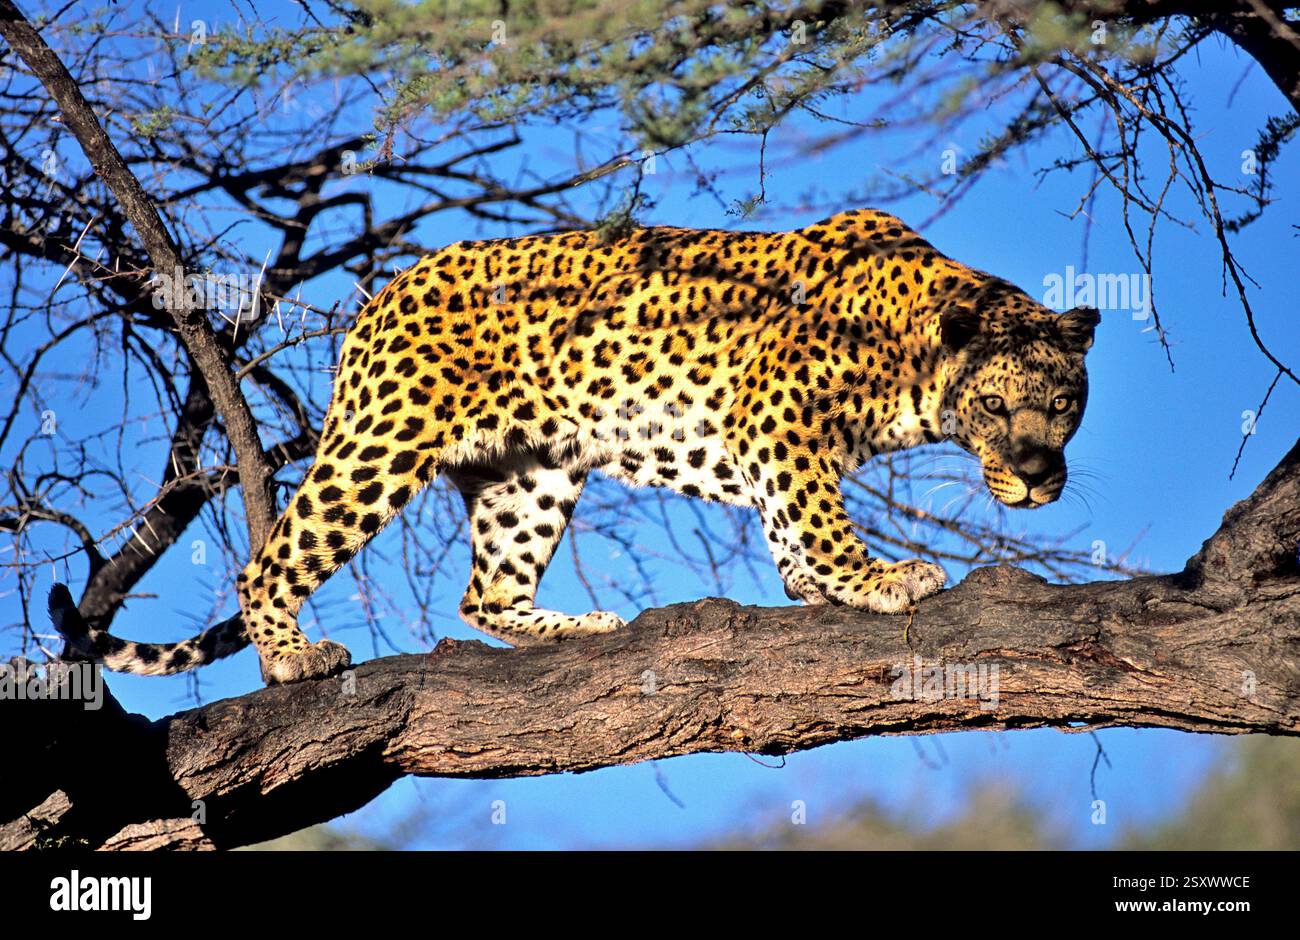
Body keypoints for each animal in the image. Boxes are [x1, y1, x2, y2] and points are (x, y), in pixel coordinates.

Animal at [51, 208, 1099, 684]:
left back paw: (581, 627)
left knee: (485, 594)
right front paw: (880, 578)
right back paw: (294, 658)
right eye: (997, 407)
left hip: (530, 473)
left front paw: (818, 585)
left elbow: (792, 534)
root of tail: (383, 292)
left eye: (1064, 405)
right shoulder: (777, 419)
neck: (921, 358)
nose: (1038, 478)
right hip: (382, 443)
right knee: (270, 561)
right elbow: (813, 514)